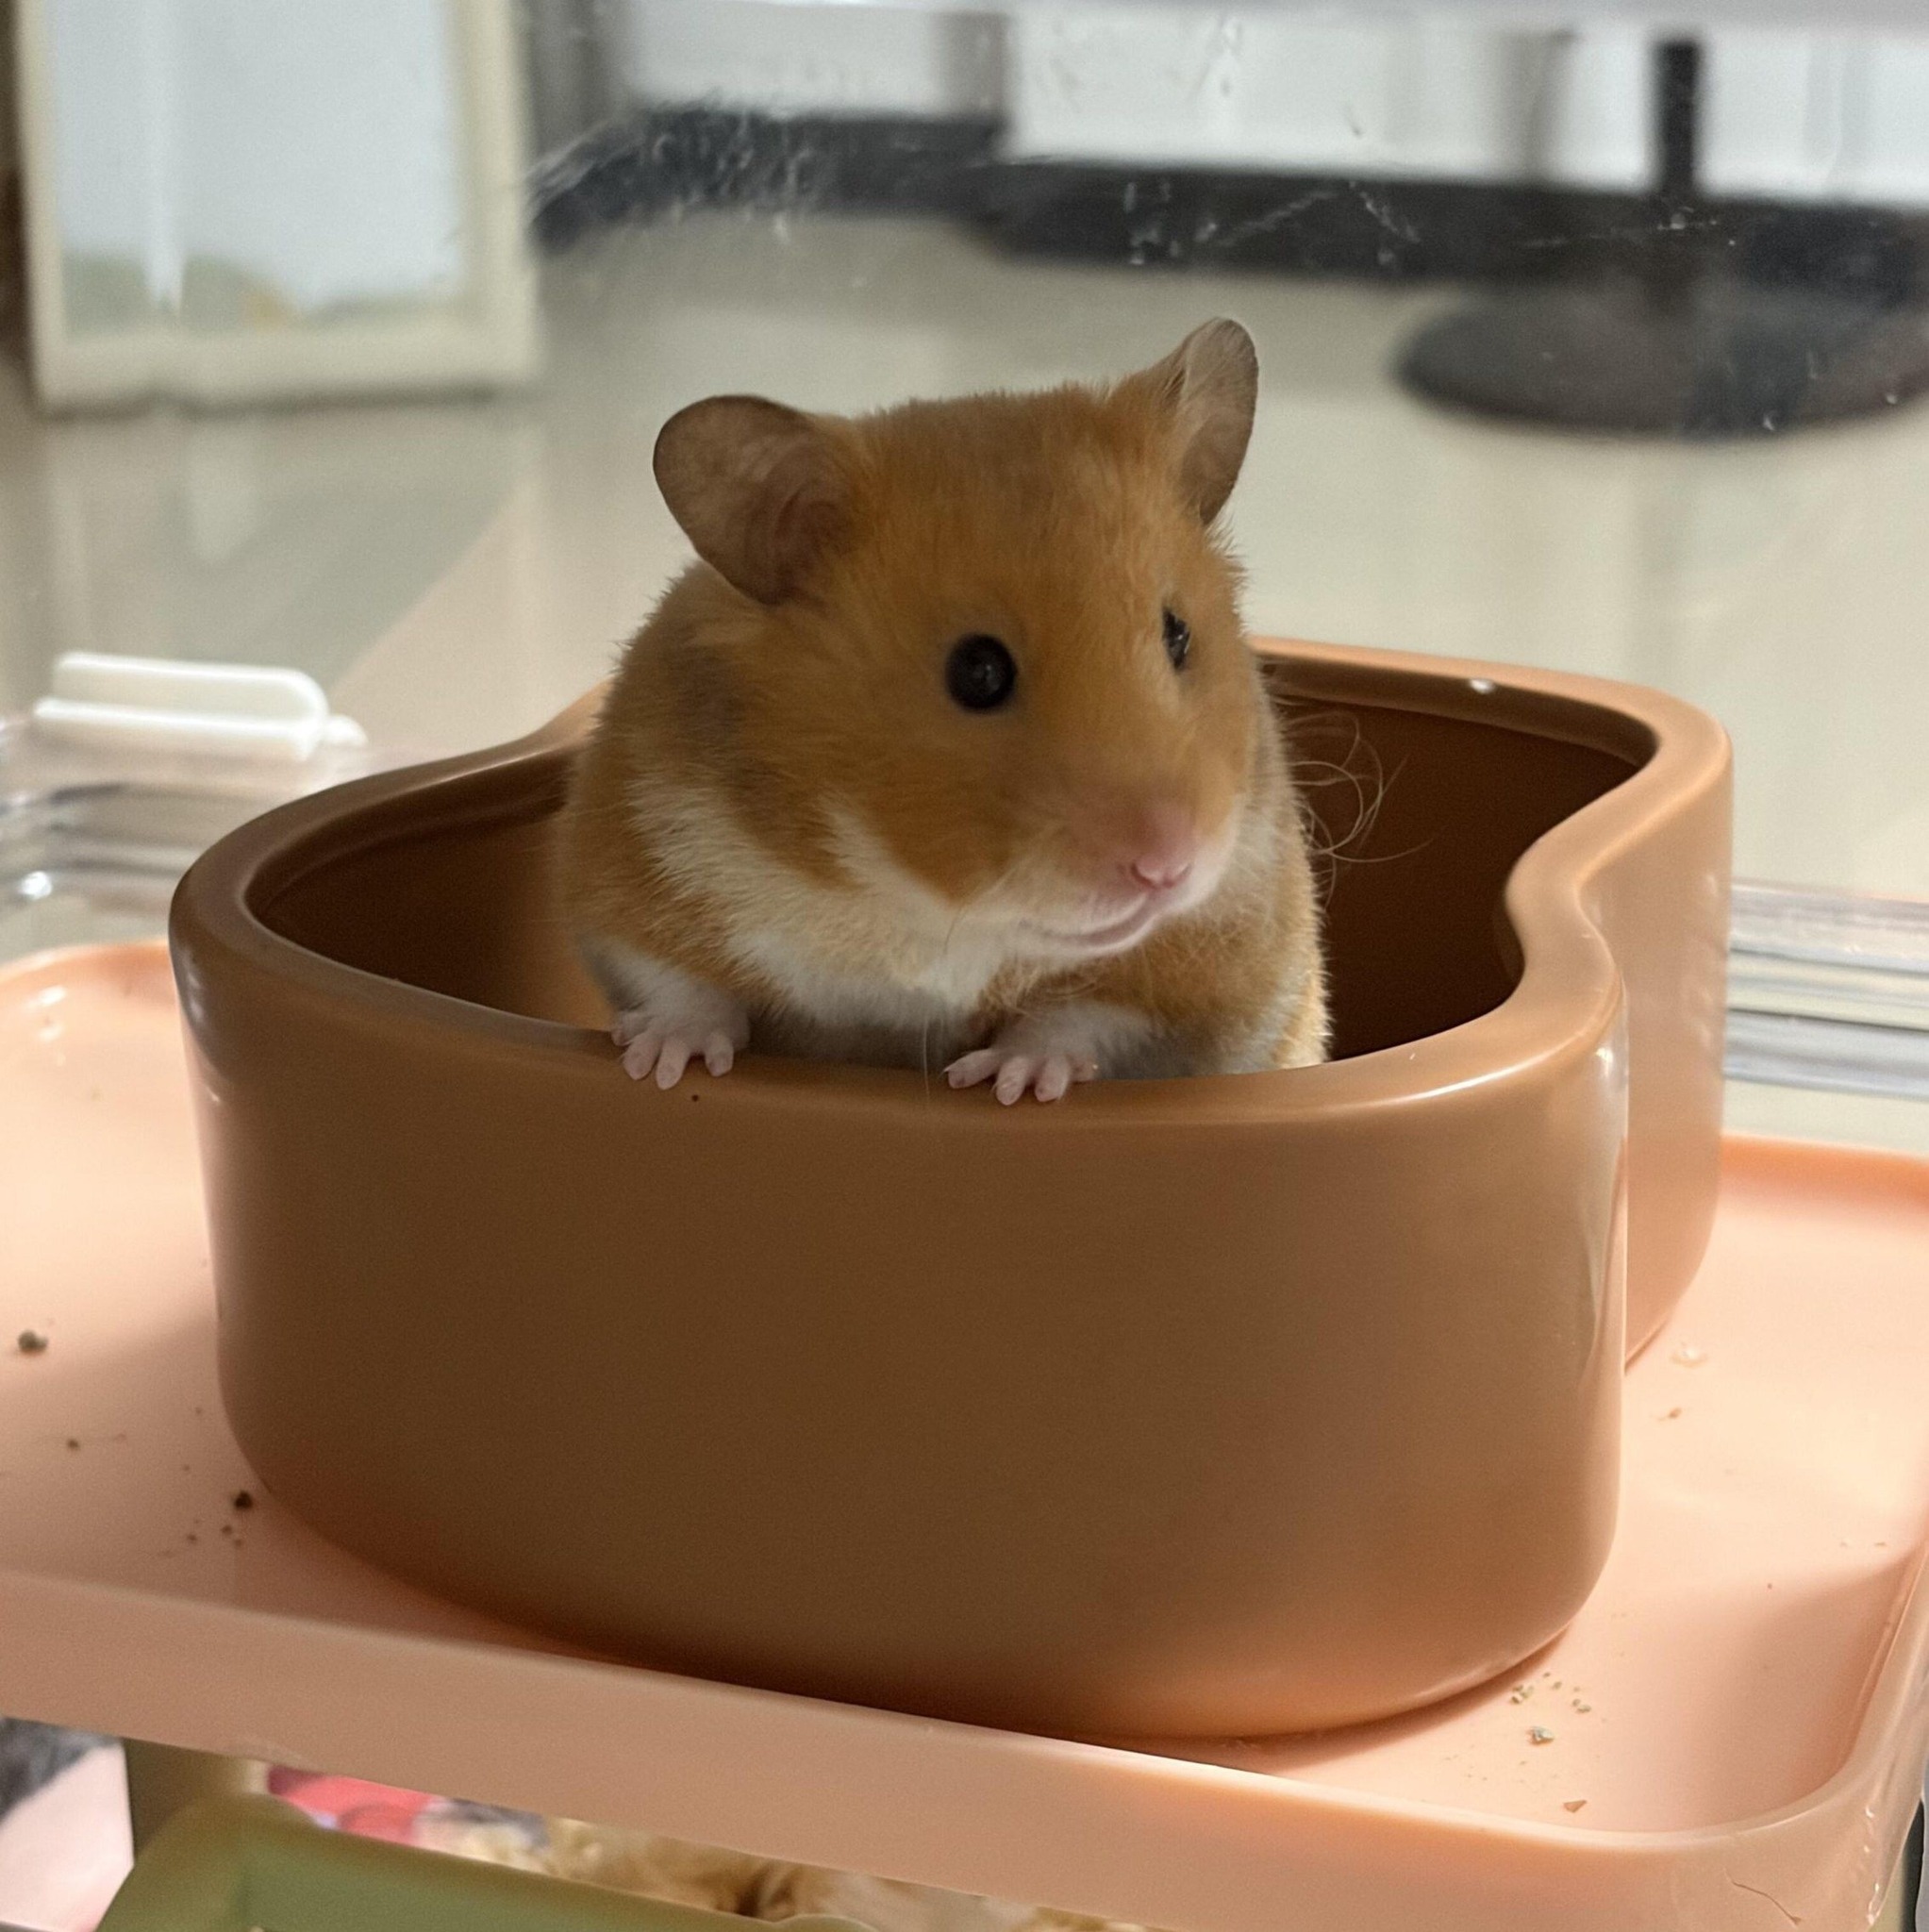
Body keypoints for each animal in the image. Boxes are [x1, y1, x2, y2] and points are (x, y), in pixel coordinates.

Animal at [560, 319, 1327, 1103]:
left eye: (1177, 635)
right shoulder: (627, 874)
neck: (924, 904)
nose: (1165, 867)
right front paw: (660, 1066)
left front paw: (1013, 1084)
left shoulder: (1200, 973)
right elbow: (679, 987)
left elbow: (1080, 1018)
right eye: (977, 671)